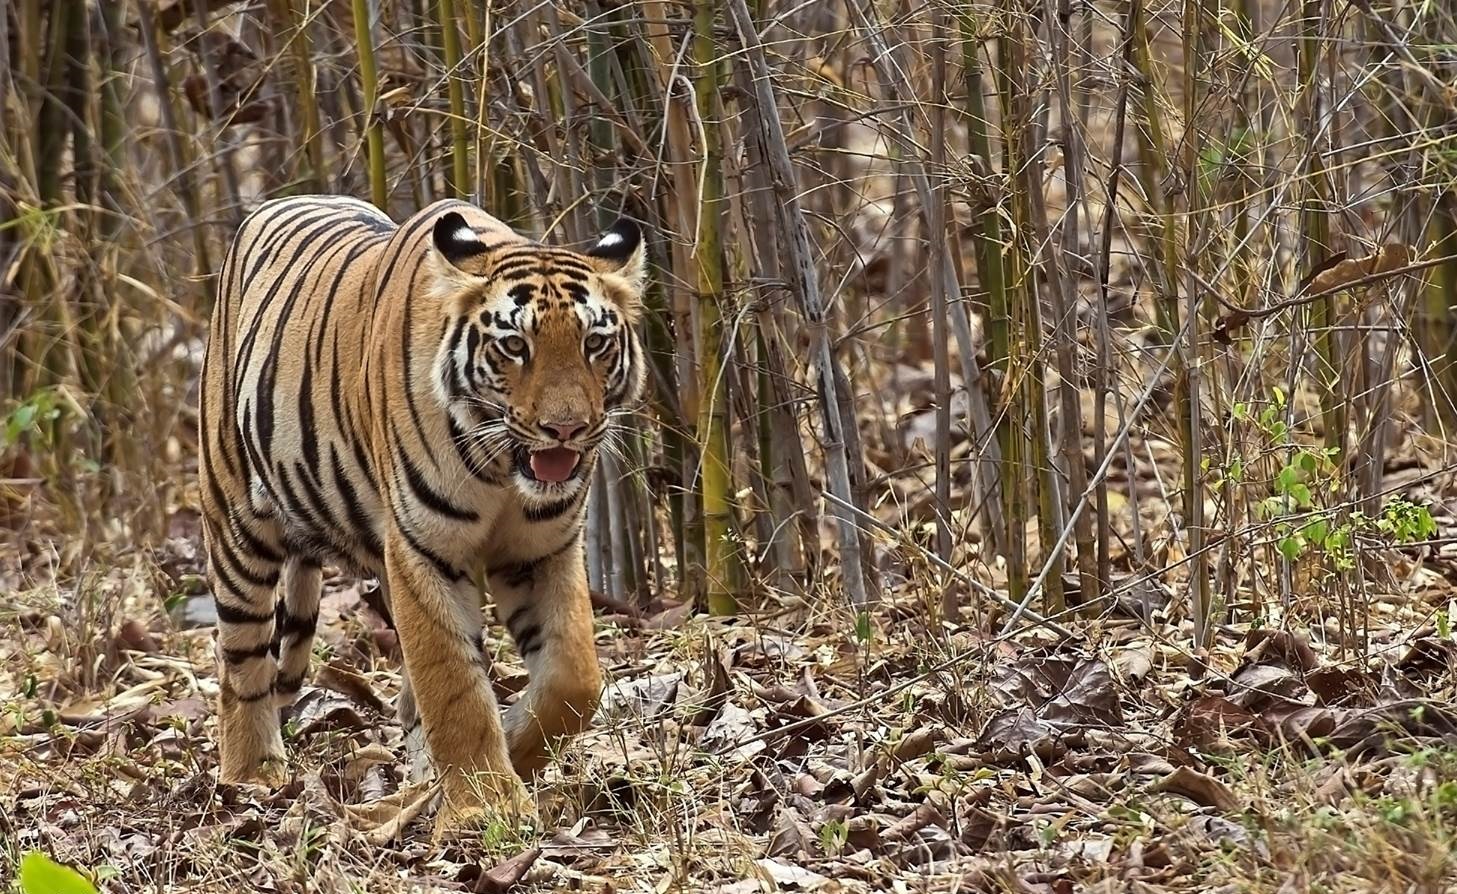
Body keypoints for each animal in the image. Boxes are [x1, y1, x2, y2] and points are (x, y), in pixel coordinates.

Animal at [197, 194, 647, 831]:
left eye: (595, 344)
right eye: (515, 346)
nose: (566, 429)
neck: (503, 470)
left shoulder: (543, 548)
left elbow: (574, 675)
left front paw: (515, 748)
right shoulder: (423, 549)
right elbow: (453, 682)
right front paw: (484, 805)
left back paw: (419, 779)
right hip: (237, 520)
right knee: (241, 659)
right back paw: (252, 773)